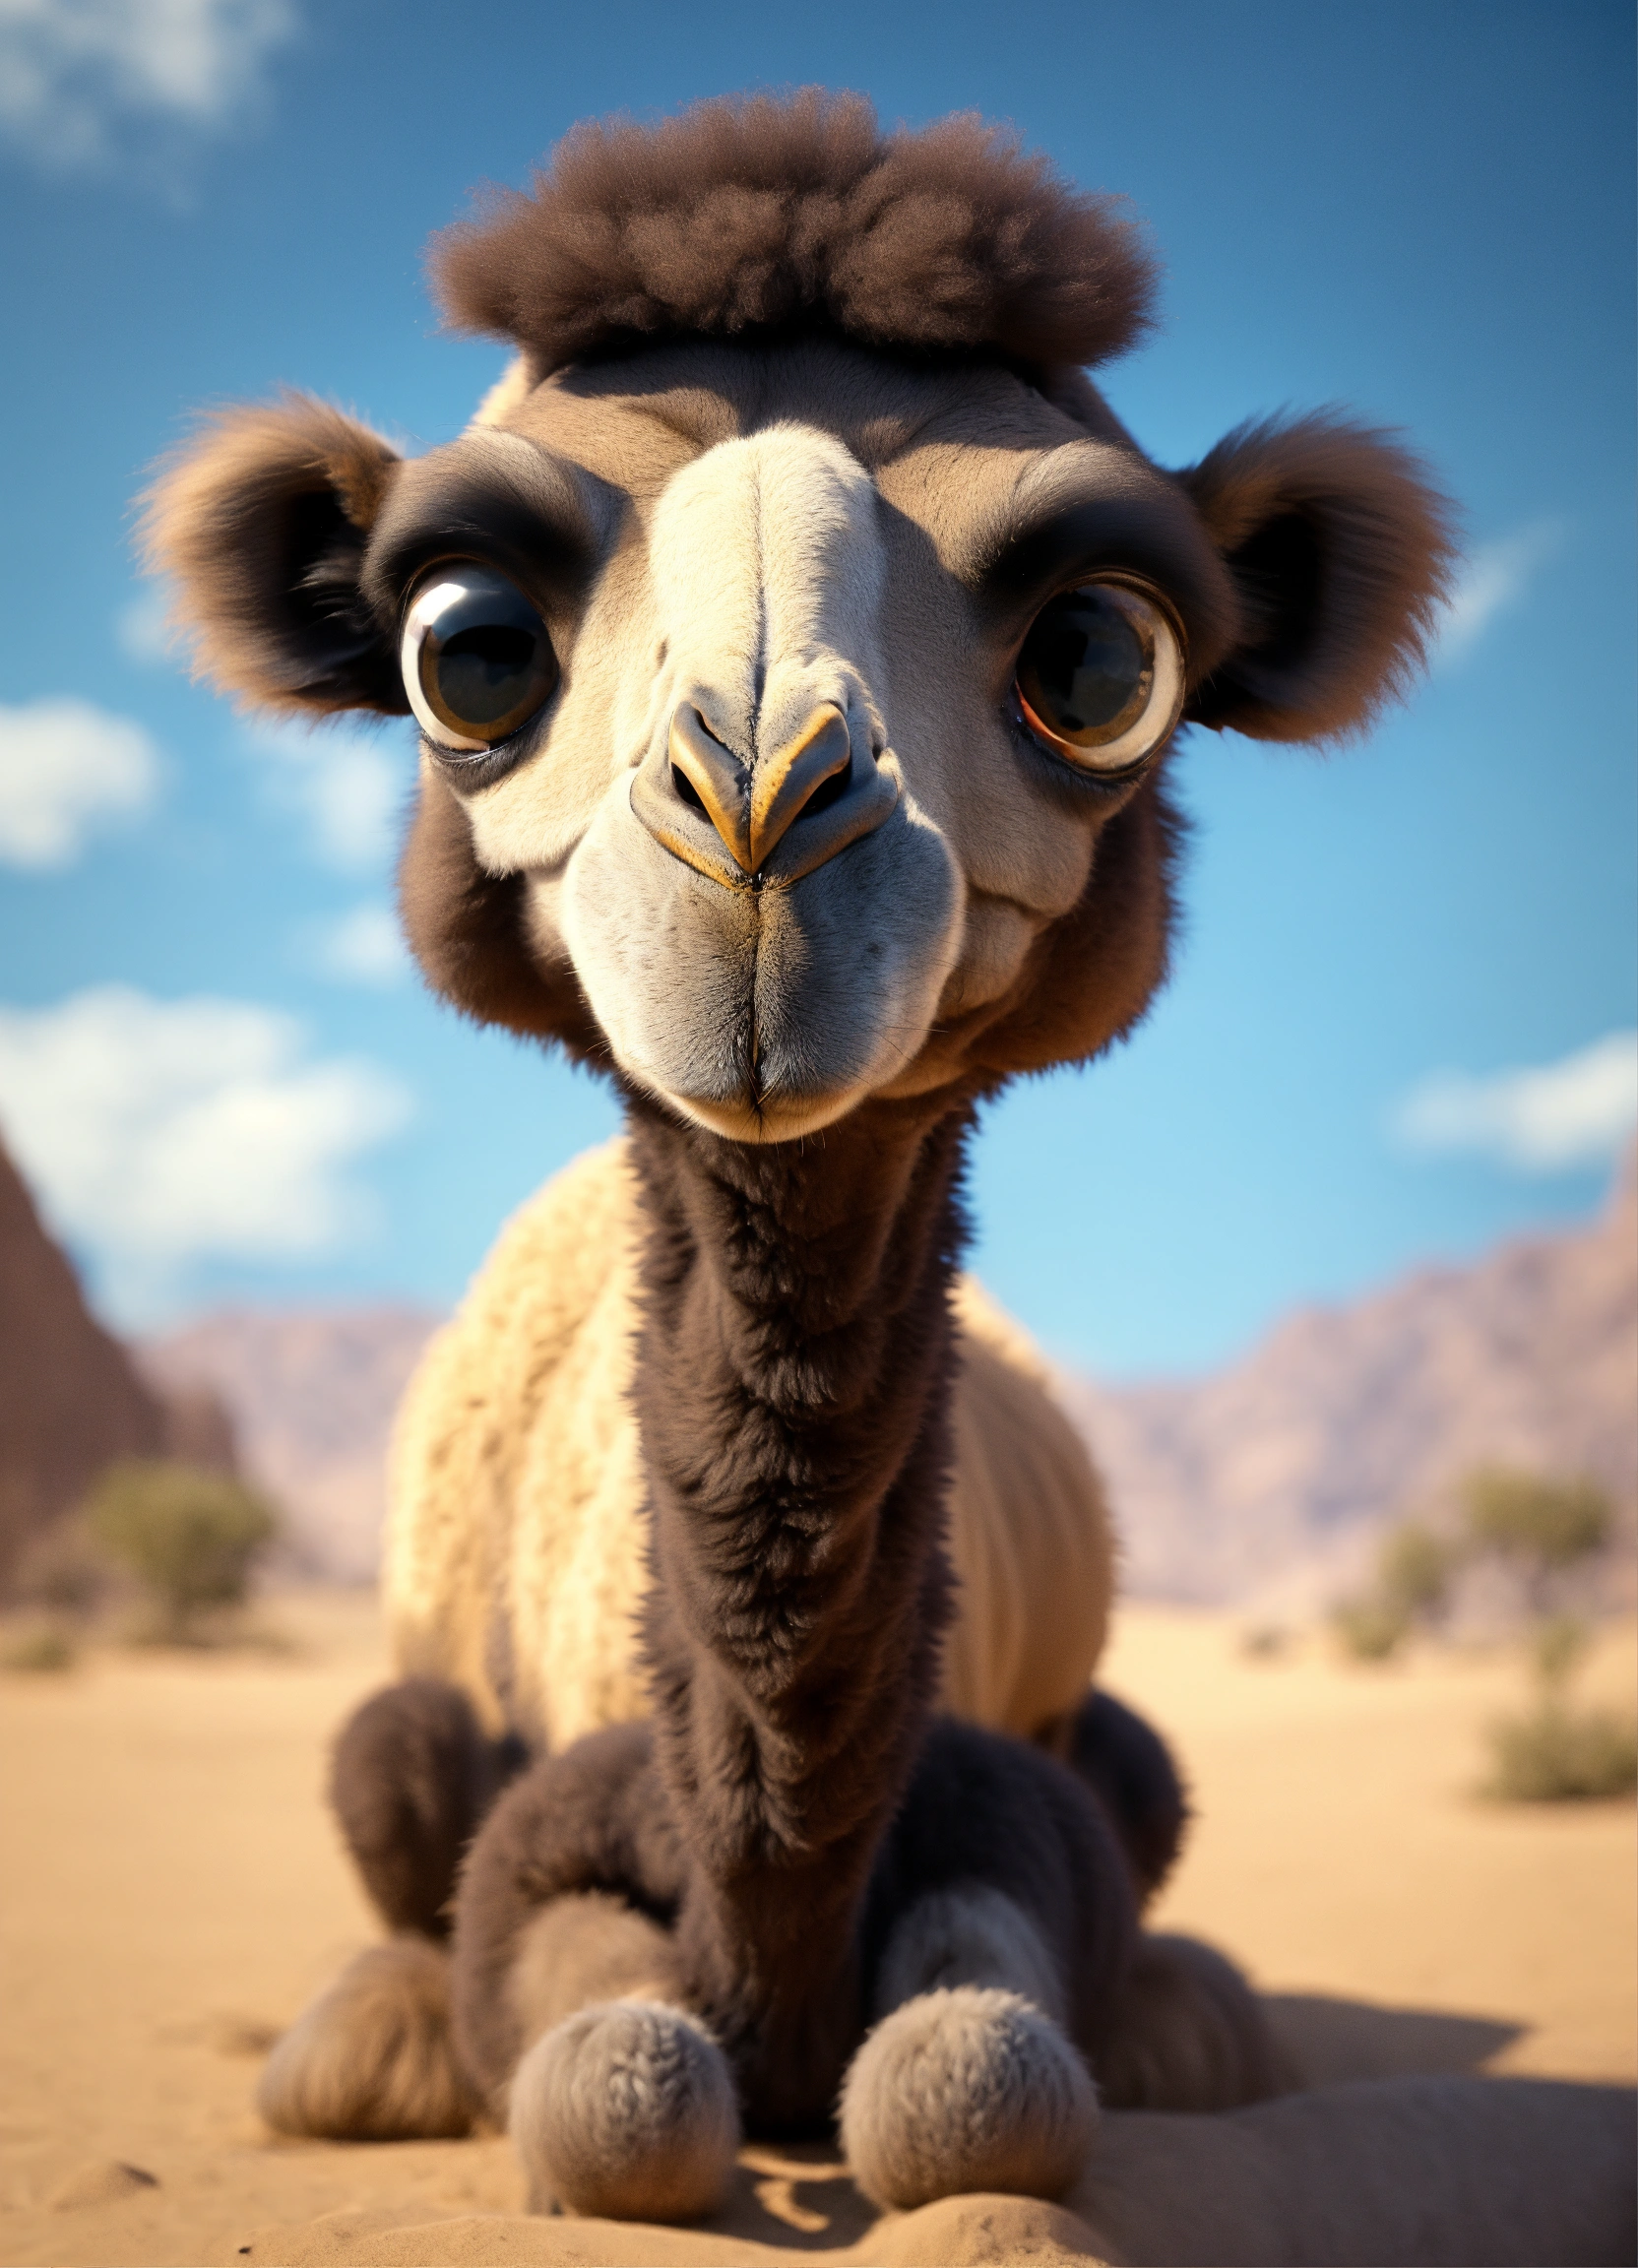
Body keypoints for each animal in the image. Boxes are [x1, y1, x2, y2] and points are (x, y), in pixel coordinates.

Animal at [145, 93, 1458, 2223]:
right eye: (465, 648)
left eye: (1098, 658)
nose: (758, 825)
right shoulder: (550, 1834)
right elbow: (617, 2080)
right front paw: (475, 2050)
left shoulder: (1008, 1798)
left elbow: (980, 2075)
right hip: (403, 1709)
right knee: (387, 1782)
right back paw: (370, 2027)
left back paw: (1193, 2011)